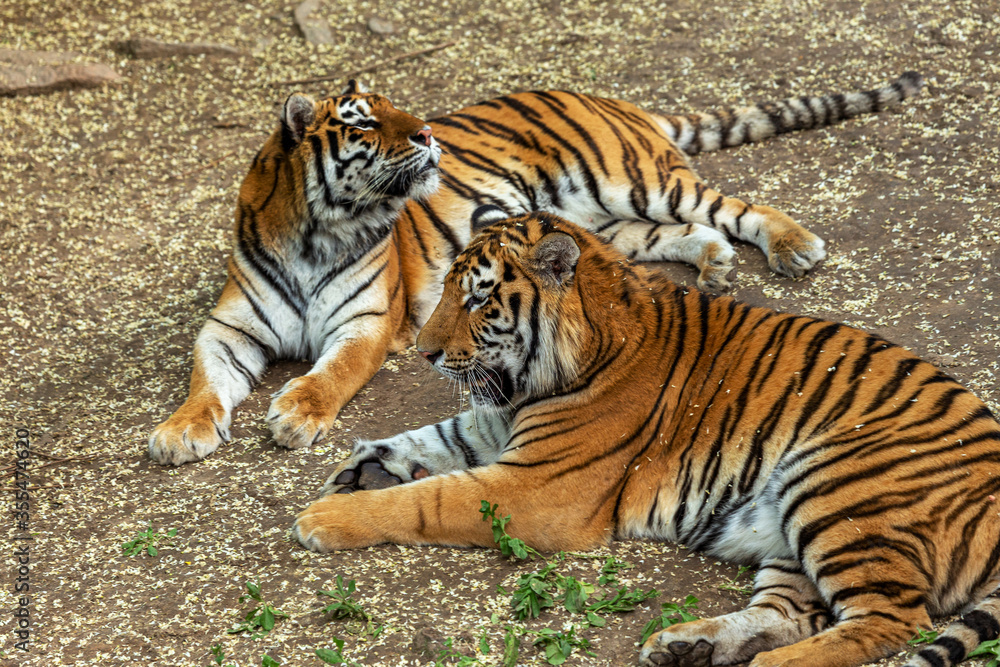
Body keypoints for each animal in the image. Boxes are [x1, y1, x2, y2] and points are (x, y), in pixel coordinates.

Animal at [148, 73, 924, 465]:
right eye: (365, 121)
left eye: (400, 107)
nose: (426, 133)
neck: (317, 228)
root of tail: (609, 99)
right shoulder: (228, 329)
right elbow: (203, 379)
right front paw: (180, 430)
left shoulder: (365, 323)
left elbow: (330, 374)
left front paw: (296, 414)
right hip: (601, 223)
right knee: (682, 233)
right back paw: (713, 265)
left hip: (634, 181)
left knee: (733, 204)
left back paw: (795, 245)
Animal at [293, 212, 1000, 667]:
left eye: (478, 300)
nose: (426, 352)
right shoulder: (500, 428)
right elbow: (437, 437)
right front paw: (362, 468)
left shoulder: (536, 488)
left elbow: (430, 497)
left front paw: (325, 516)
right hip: (797, 526)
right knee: (792, 613)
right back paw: (687, 644)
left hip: (835, 480)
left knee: (893, 620)